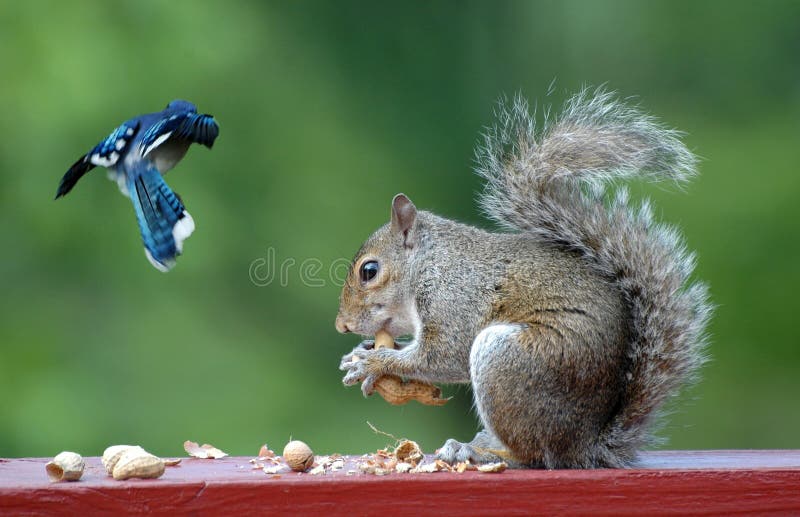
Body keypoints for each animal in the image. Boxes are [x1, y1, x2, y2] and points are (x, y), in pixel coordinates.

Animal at [334, 88, 708, 468]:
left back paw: (476, 451)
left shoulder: (454, 298)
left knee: (530, 454)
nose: (342, 325)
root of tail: (584, 445)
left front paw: (372, 362)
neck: (430, 264)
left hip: (508, 362)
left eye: (369, 271)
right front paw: (365, 351)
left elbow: (443, 356)